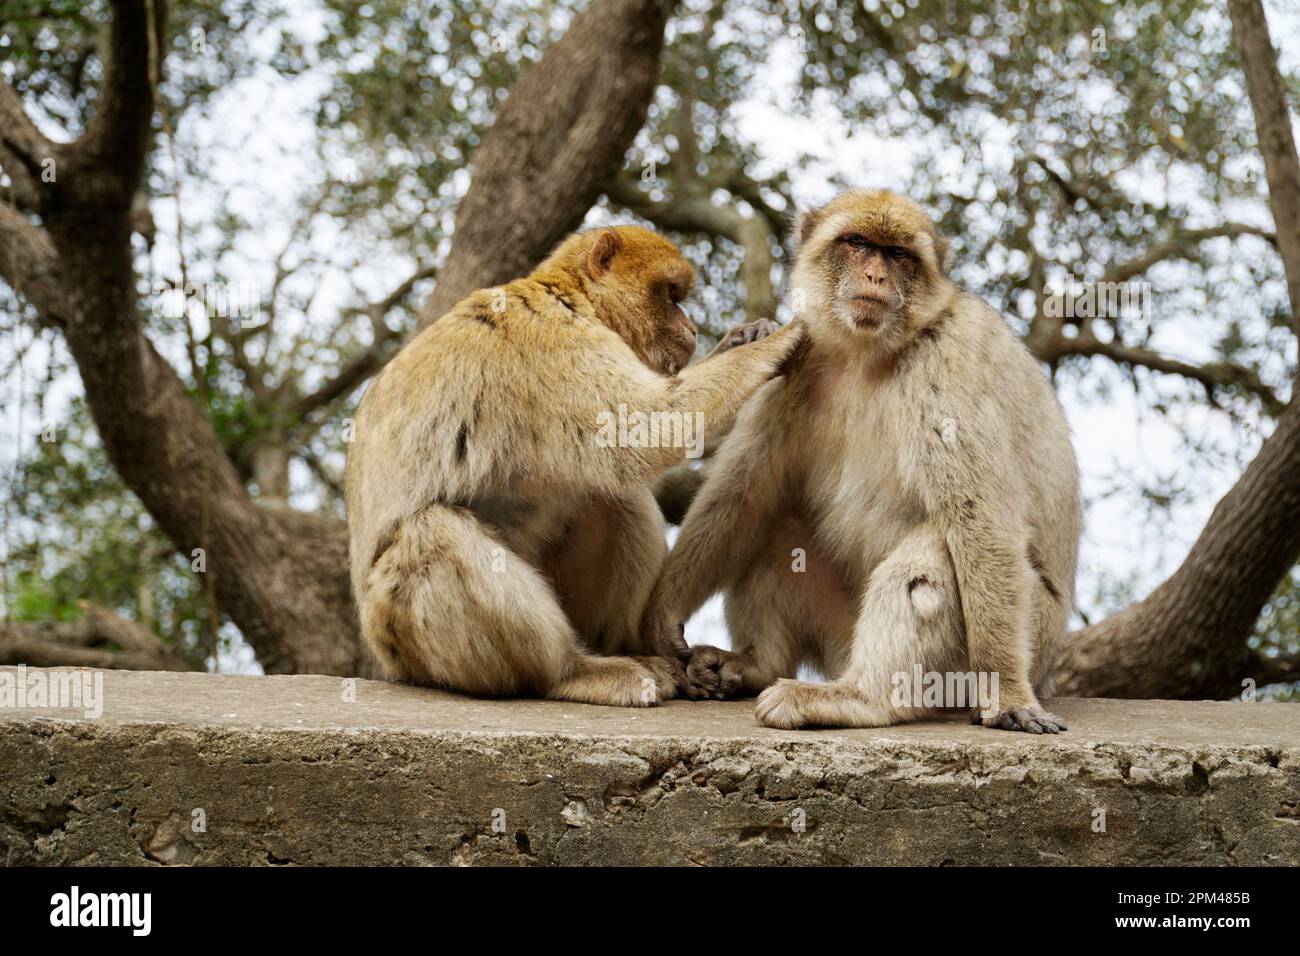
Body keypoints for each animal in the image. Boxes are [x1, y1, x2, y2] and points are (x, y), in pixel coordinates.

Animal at [345, 225, 805, 708]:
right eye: (671, 295)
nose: (692, 327)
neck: (575, 298)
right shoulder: (553, 336)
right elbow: (644, 427)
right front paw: (781, 340)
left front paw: (743, 338)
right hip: (405, 643)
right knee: (432, 531)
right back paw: (571, 672)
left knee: (614, 495)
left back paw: (640, 649)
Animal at [641, 189, 1082, 732]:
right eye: (857, 244)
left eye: (898, 255)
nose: (875, 276)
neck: (865, 354)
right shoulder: (798, 357)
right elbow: (742, 491)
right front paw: (663, 611)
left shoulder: (949, 359)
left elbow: (981, 523)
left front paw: (1006, 695)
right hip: (837, 630)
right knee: (776, 520)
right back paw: (757, 664)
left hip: (1019, 638)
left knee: (938, 548)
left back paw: (860, 698)